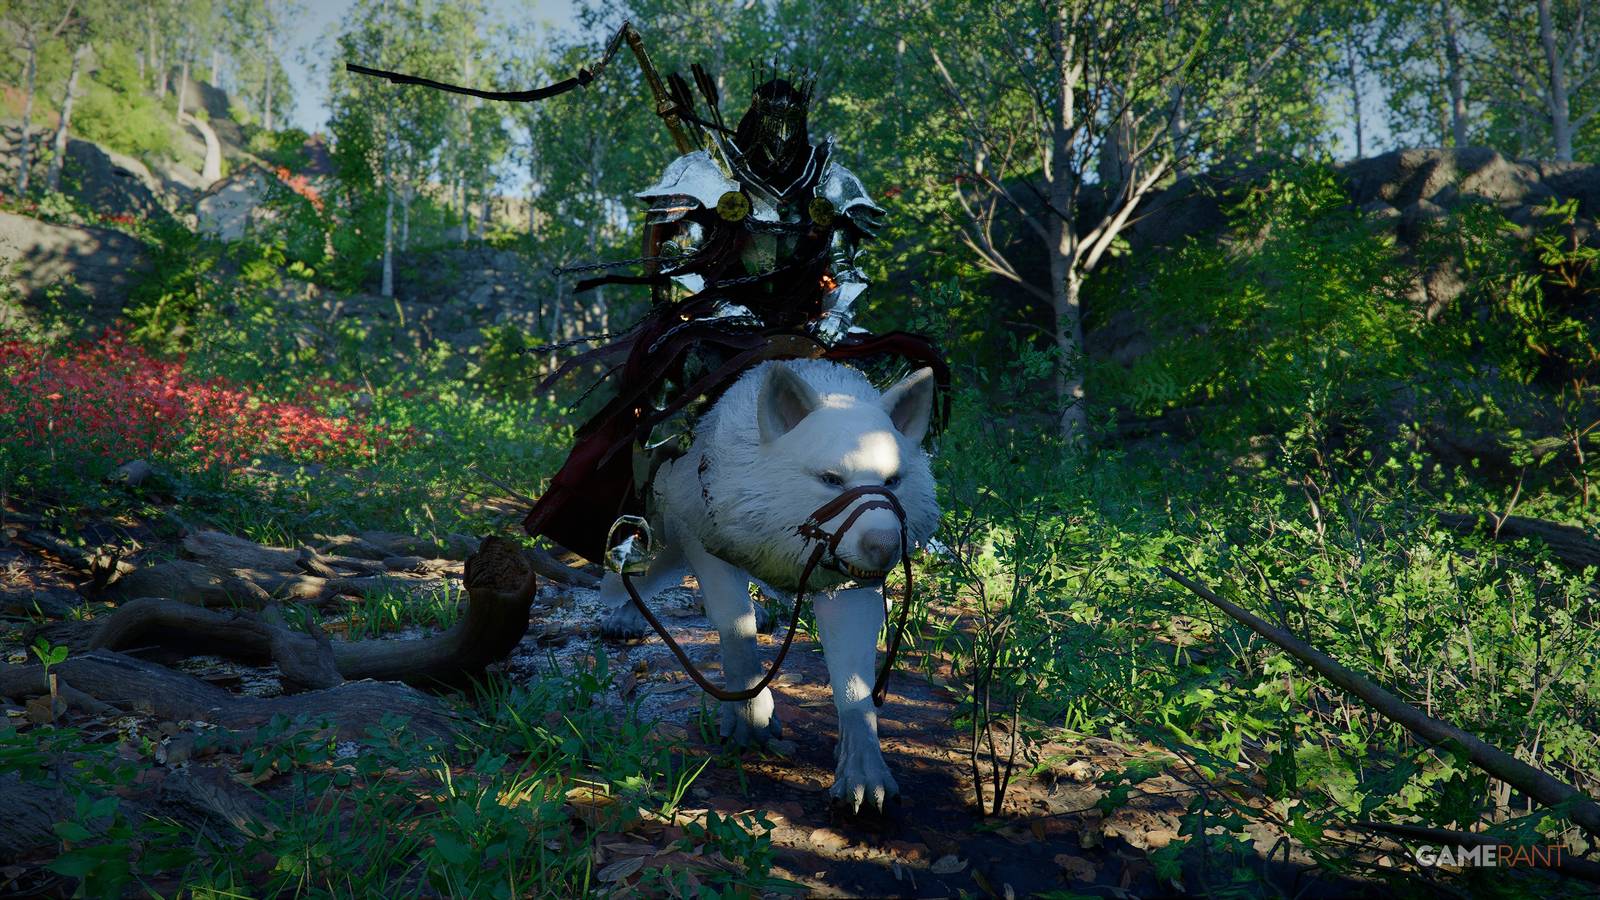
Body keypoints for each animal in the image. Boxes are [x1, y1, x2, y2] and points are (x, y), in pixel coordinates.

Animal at [596, 359, 939, 813]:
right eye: (831, 478)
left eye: (894, 481)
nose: (885, 548)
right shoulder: (705, 540)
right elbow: (734, 629)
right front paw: (750, 715)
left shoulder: (850, 585)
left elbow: (853, 680)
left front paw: (863, 772)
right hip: (663, 519)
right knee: (644, 564)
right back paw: (626, 615)